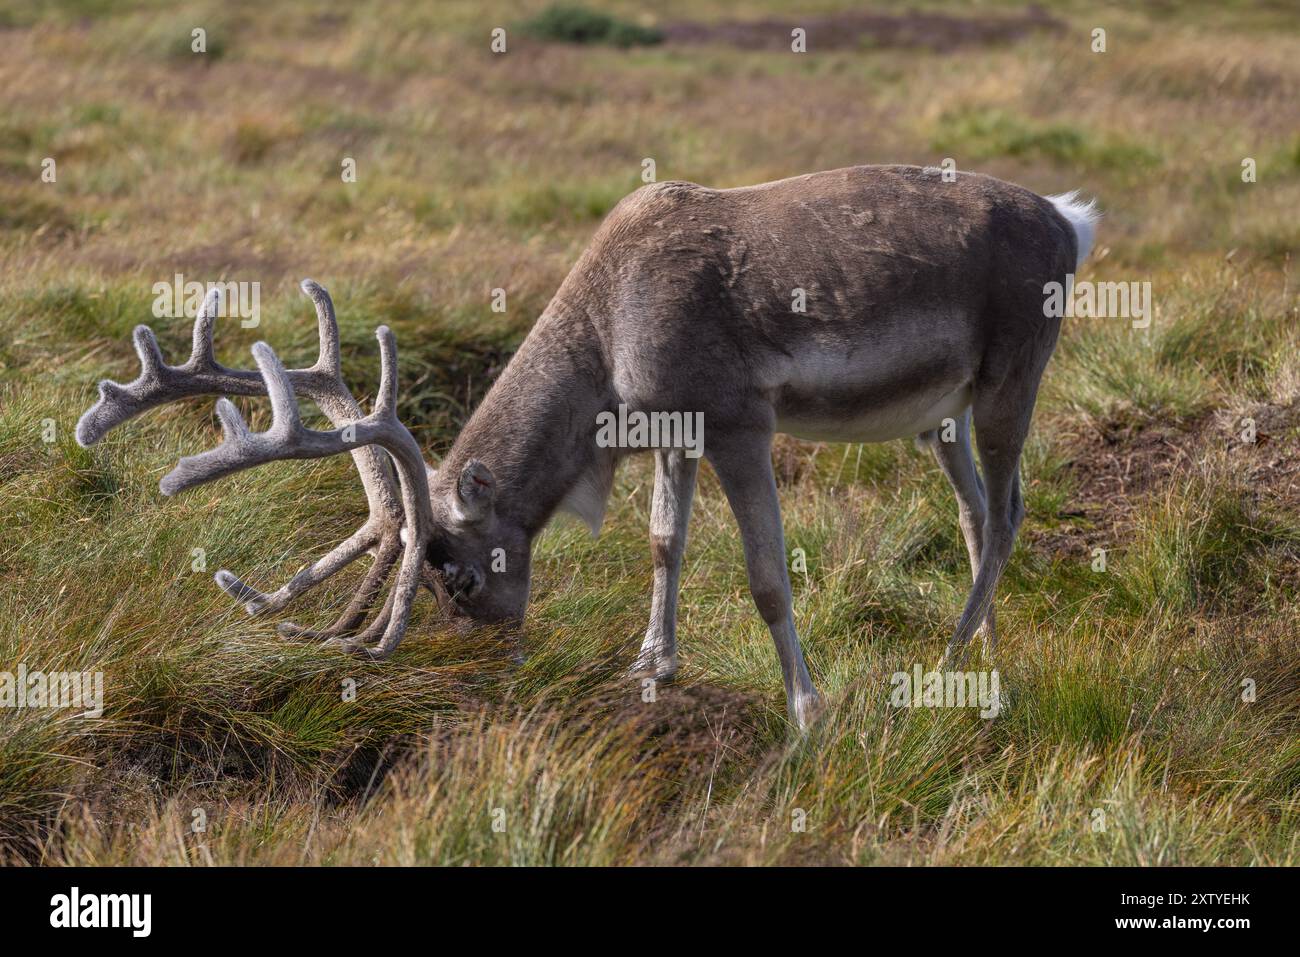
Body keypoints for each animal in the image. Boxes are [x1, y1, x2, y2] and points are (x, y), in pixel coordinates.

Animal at [77, 165, 1097, 730]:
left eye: (456, 570)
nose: (489, 661)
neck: (608, 330)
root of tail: (1068, 221)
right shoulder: (675, 432)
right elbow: (663, 542)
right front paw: (654, 664)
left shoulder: (737, 419)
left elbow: (767, 577)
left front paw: (808, 713)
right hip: (943, 412)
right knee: (974, 513)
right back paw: (983, 657)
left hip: (1012, 378)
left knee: (1010, 510)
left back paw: (951, 659)